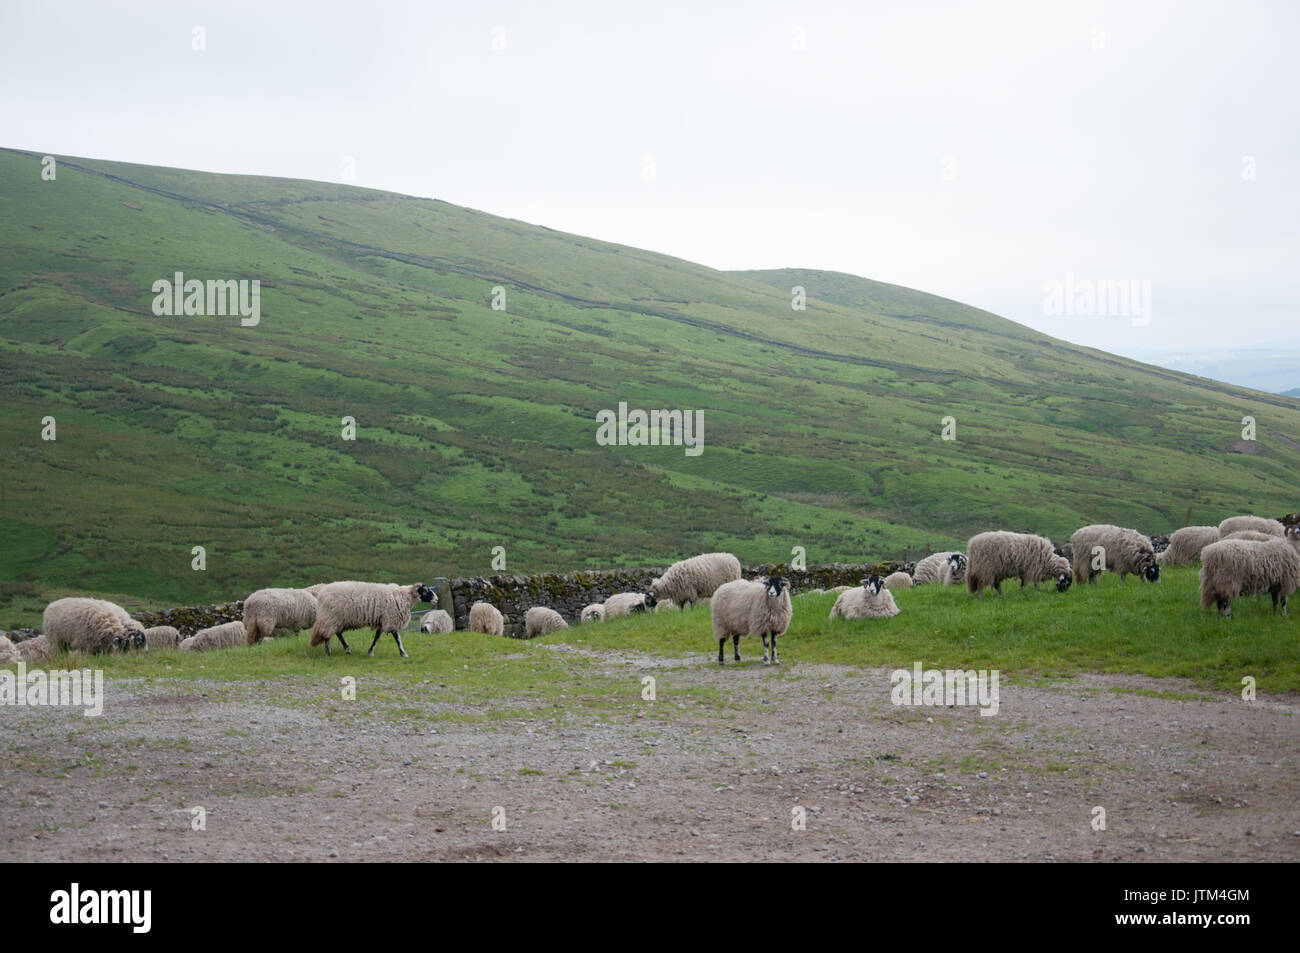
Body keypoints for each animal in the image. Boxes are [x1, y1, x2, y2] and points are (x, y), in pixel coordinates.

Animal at [308, 582, 436, 658]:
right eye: (424, 591)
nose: (436, 599)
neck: (404, 597)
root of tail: (321, 594)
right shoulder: (391, 619)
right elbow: (397, 638)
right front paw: (403, 653)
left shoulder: (382, 621)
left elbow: (377, 637)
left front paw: (370, 651)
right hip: (331, 617)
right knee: (327, 634)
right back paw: (328, 651)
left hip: (338, 619)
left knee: (338, 633)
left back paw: (347, 649)